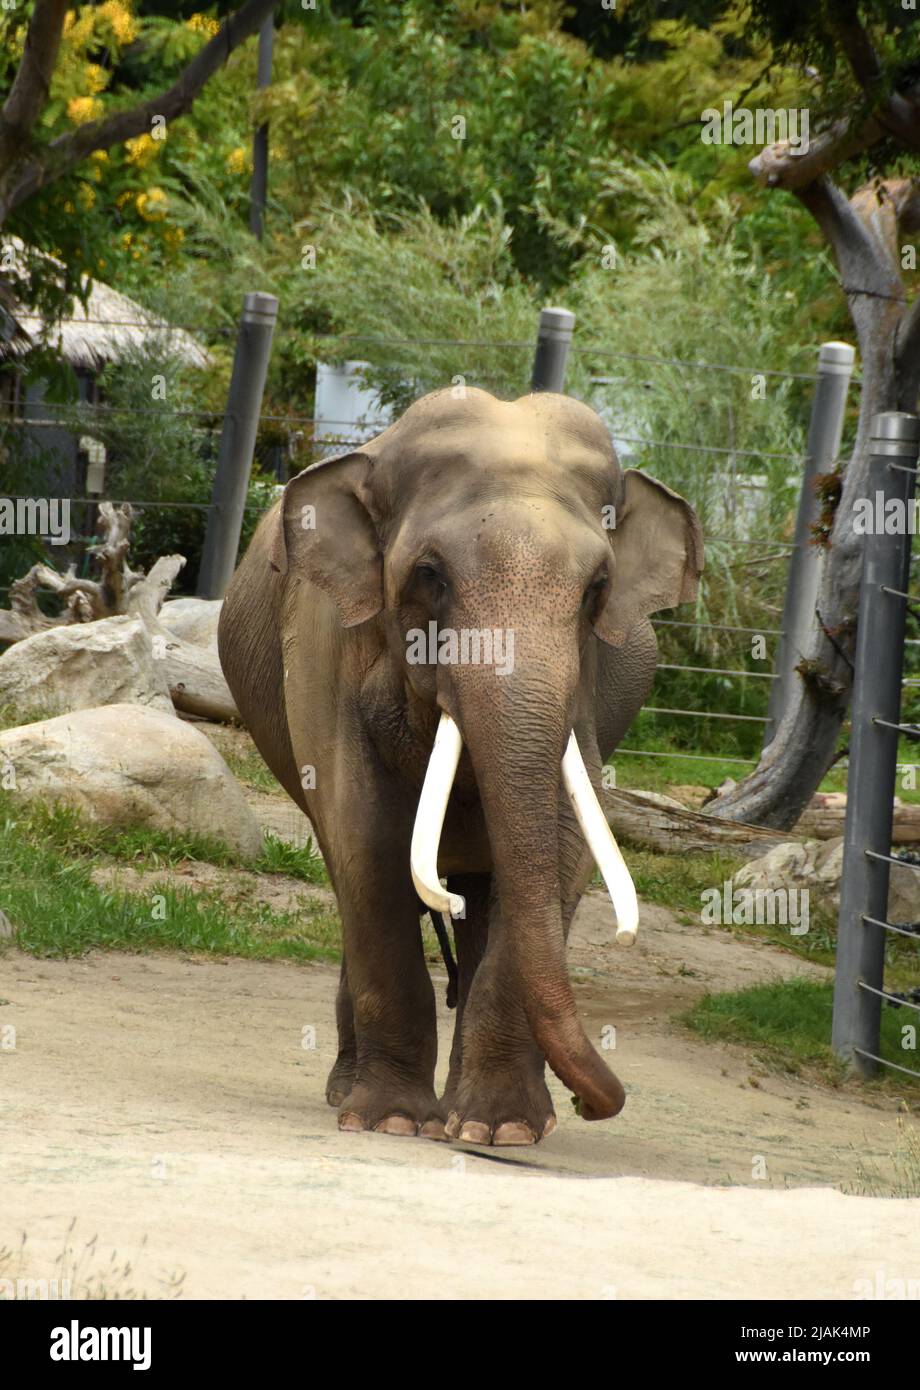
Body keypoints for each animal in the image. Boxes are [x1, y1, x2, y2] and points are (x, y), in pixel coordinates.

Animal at [218, 387, 703, 1146]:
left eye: (597, 588)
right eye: (430, 575)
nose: (591, 1105)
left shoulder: (585, 690)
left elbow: (565, 845)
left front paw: (498, 1132)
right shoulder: (325, 641)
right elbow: (365, 839)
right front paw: (388, 1120)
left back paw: (461, 1109)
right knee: (346, 869)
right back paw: (347, 1093)